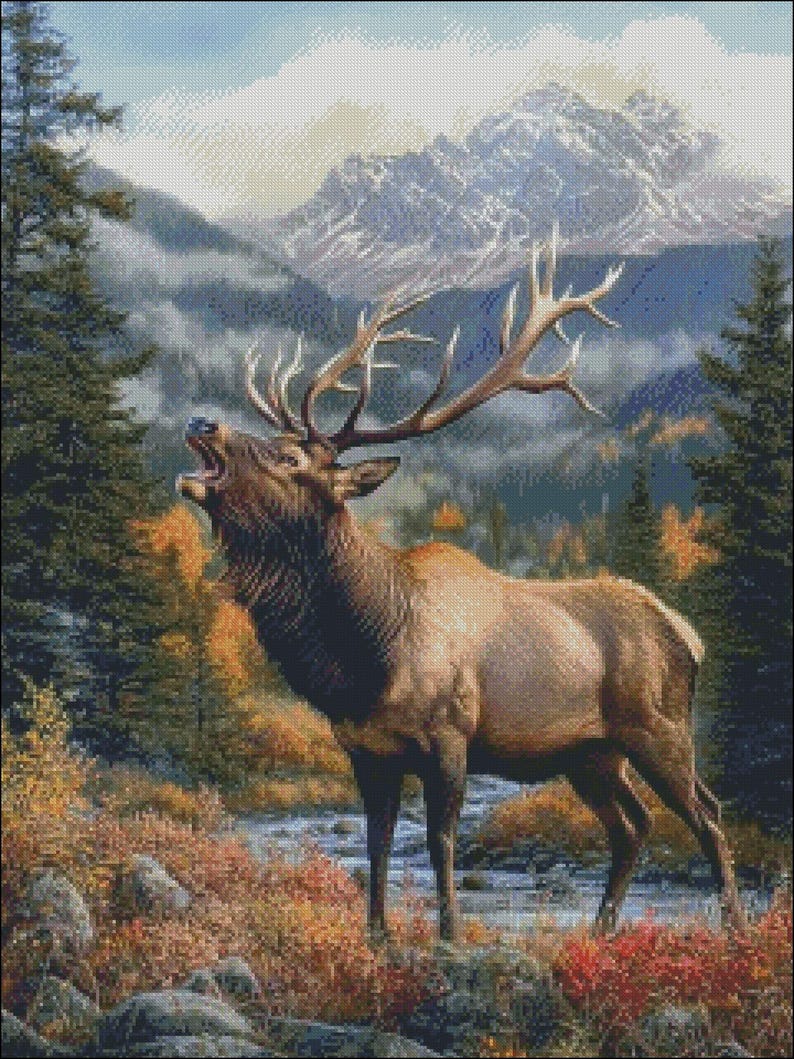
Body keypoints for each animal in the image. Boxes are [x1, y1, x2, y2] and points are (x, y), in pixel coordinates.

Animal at [178, 231, 746, 943]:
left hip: (658, 727)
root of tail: (689, 635)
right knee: (633, 825)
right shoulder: (365, 749)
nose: (203, 423)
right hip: (590, 753)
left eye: (289, 458)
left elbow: (440, 840)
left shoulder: (450, 735)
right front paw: (378, 937)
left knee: (709, 813)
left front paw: (447, 935)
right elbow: (377, 844)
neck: (361, 658)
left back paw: (735, 930)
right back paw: (598, 932)